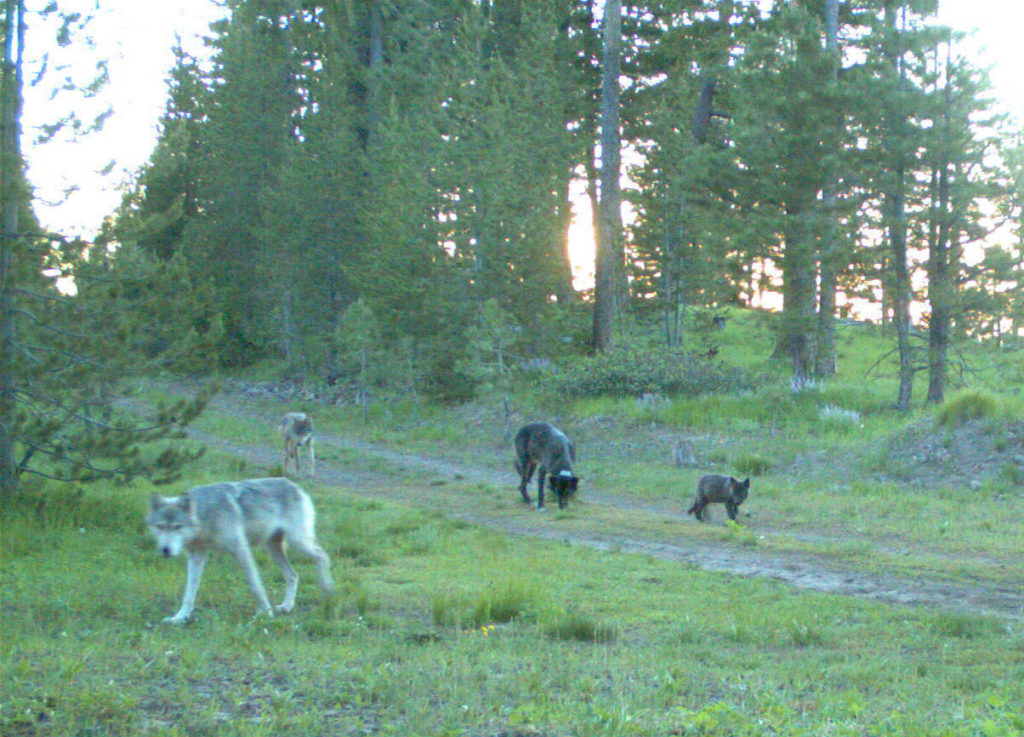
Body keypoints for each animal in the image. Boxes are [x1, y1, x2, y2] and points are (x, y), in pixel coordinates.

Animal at [146, 477, 334, 624]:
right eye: (160, 527)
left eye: (177, 527)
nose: (165, 550)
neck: (205, 516)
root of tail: (294, 484)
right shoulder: (196, 556)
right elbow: (189, 592)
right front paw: (179, 618)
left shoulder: (241, 550)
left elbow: (255, 586)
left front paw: (265, 614)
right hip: (273, 549)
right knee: (293, 575)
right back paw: (287, 607)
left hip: (298, 542)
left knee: (322, 556)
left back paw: (327, 591)